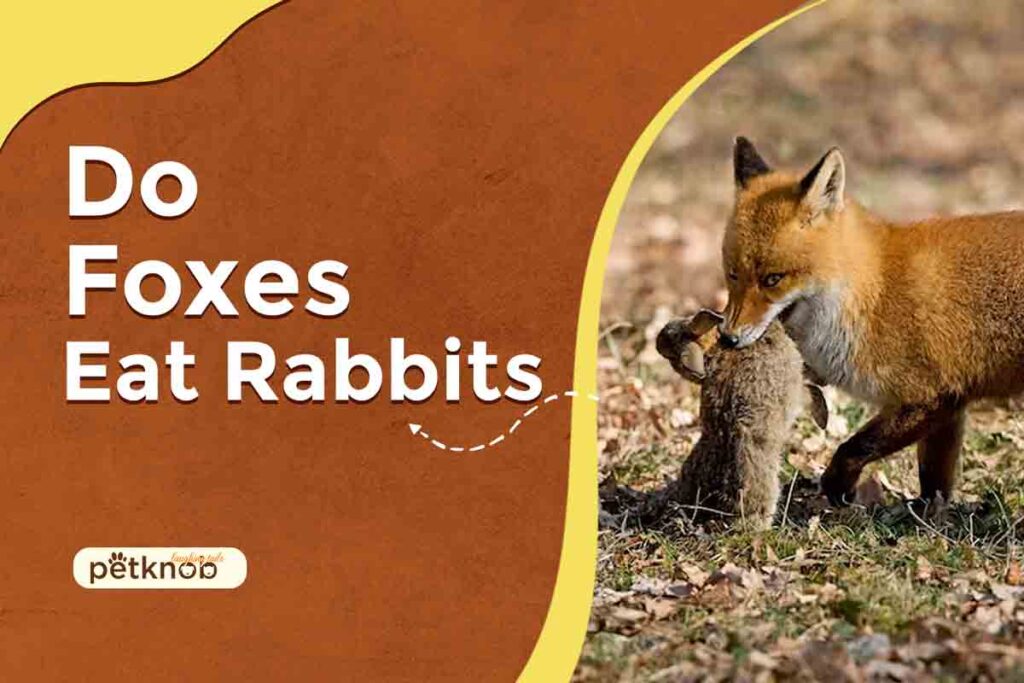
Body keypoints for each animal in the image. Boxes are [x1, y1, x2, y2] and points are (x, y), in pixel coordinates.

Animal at [718, 136, 1024, 505]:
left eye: (773, 279)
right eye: (733, 274)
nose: (727, 337)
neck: (873, 291)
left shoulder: (928, 397)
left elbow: (852, 448)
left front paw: (838, 489)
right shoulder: (951, 407)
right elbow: (934, 484)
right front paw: (925, 516)